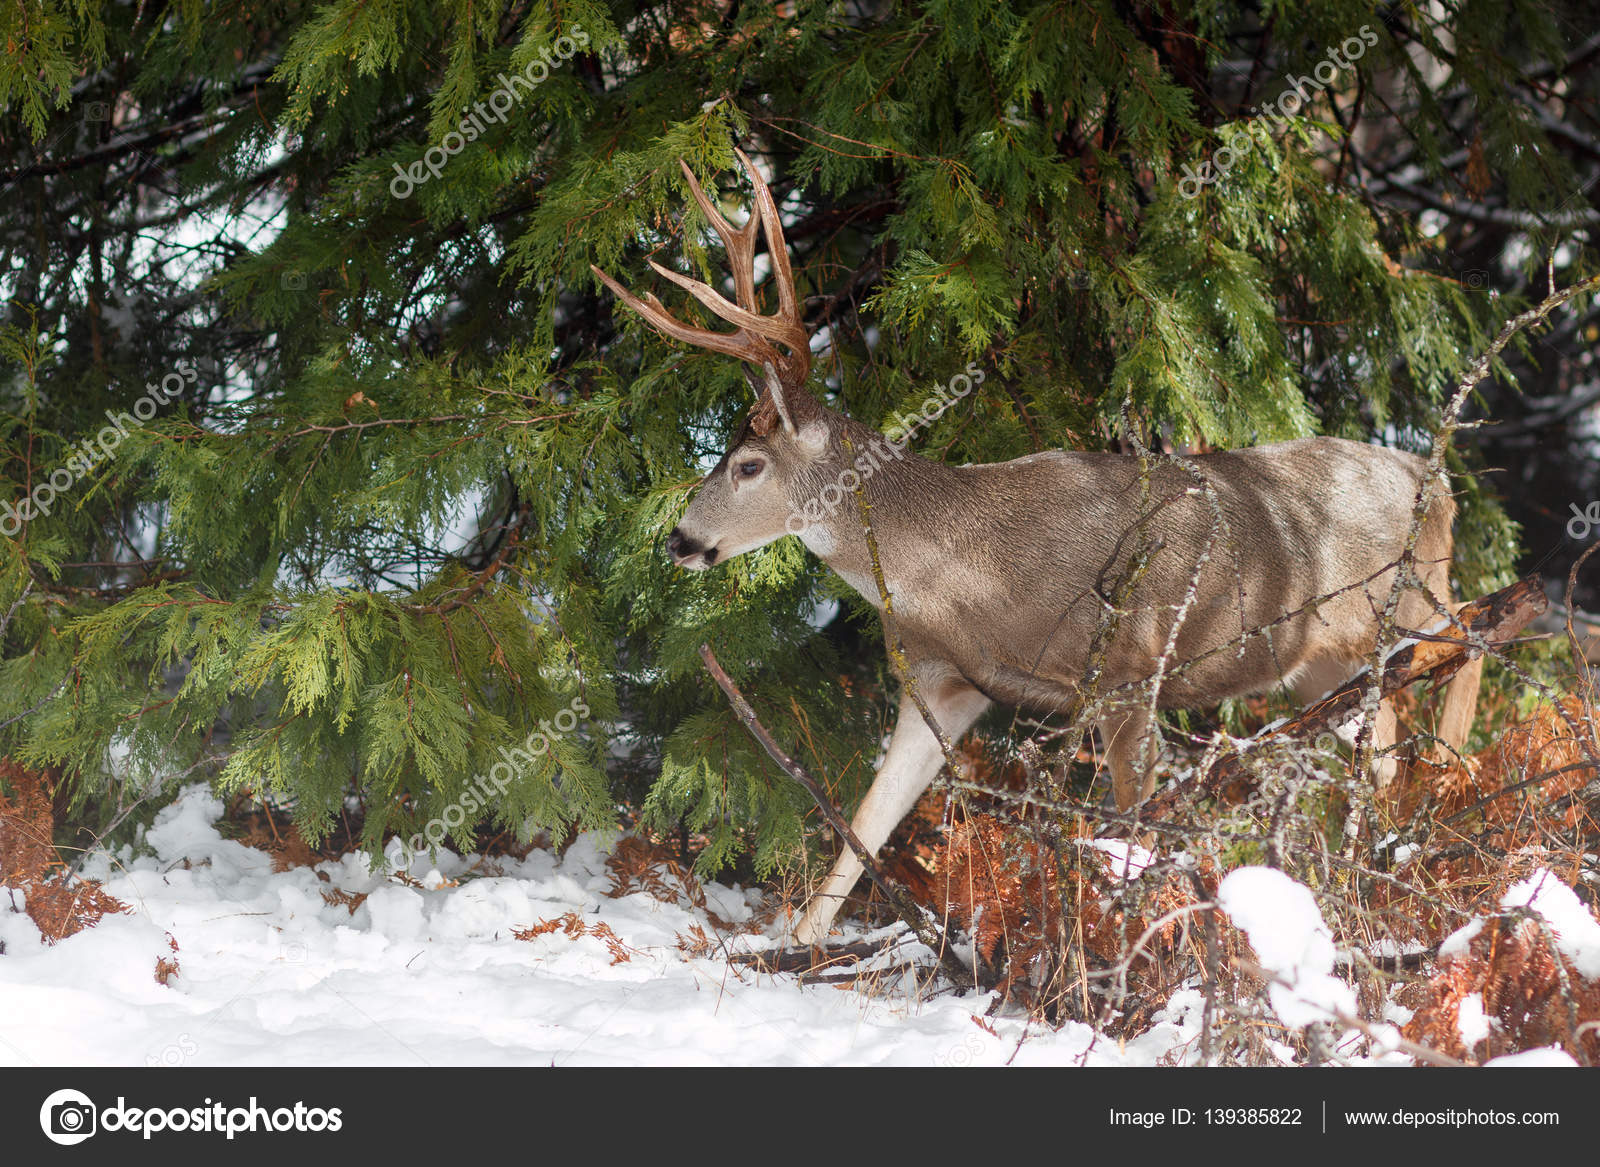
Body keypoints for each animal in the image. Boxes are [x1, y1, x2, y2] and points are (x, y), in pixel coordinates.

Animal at [592, 151, 1484, 947]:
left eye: (748, 464)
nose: (678, 539)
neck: (968, 570)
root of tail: (1434, 480)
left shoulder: (1127, 666)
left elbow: (1135, 821)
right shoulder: (943, 679)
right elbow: (868, 817)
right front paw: (799, 941)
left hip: (1408, 598)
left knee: (1475, 633)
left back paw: (1453, 778)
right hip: (1324, 661)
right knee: (1384, 742)